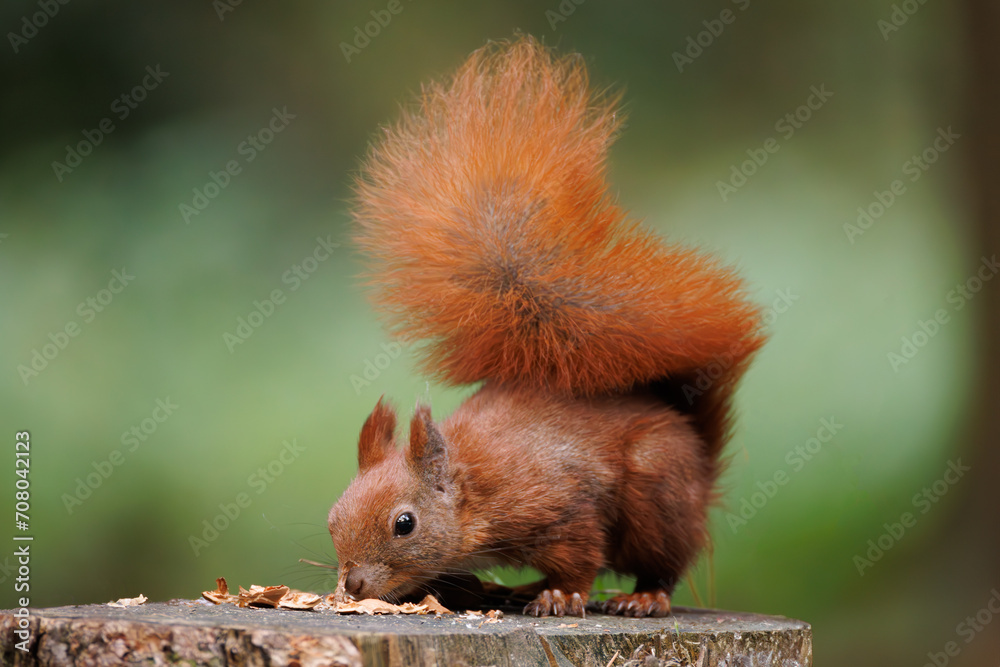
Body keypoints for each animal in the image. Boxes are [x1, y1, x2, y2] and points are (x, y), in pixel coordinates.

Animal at [327, 36, 765, 618]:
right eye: (333, 518)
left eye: (405, 524)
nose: (351, 584)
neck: (474, 488)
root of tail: (697, 449)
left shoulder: (562, 505)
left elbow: (580, 556)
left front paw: (564, 594)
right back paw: (519, 587)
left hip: (658, 493)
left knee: (663, 563)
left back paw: (641, 596)